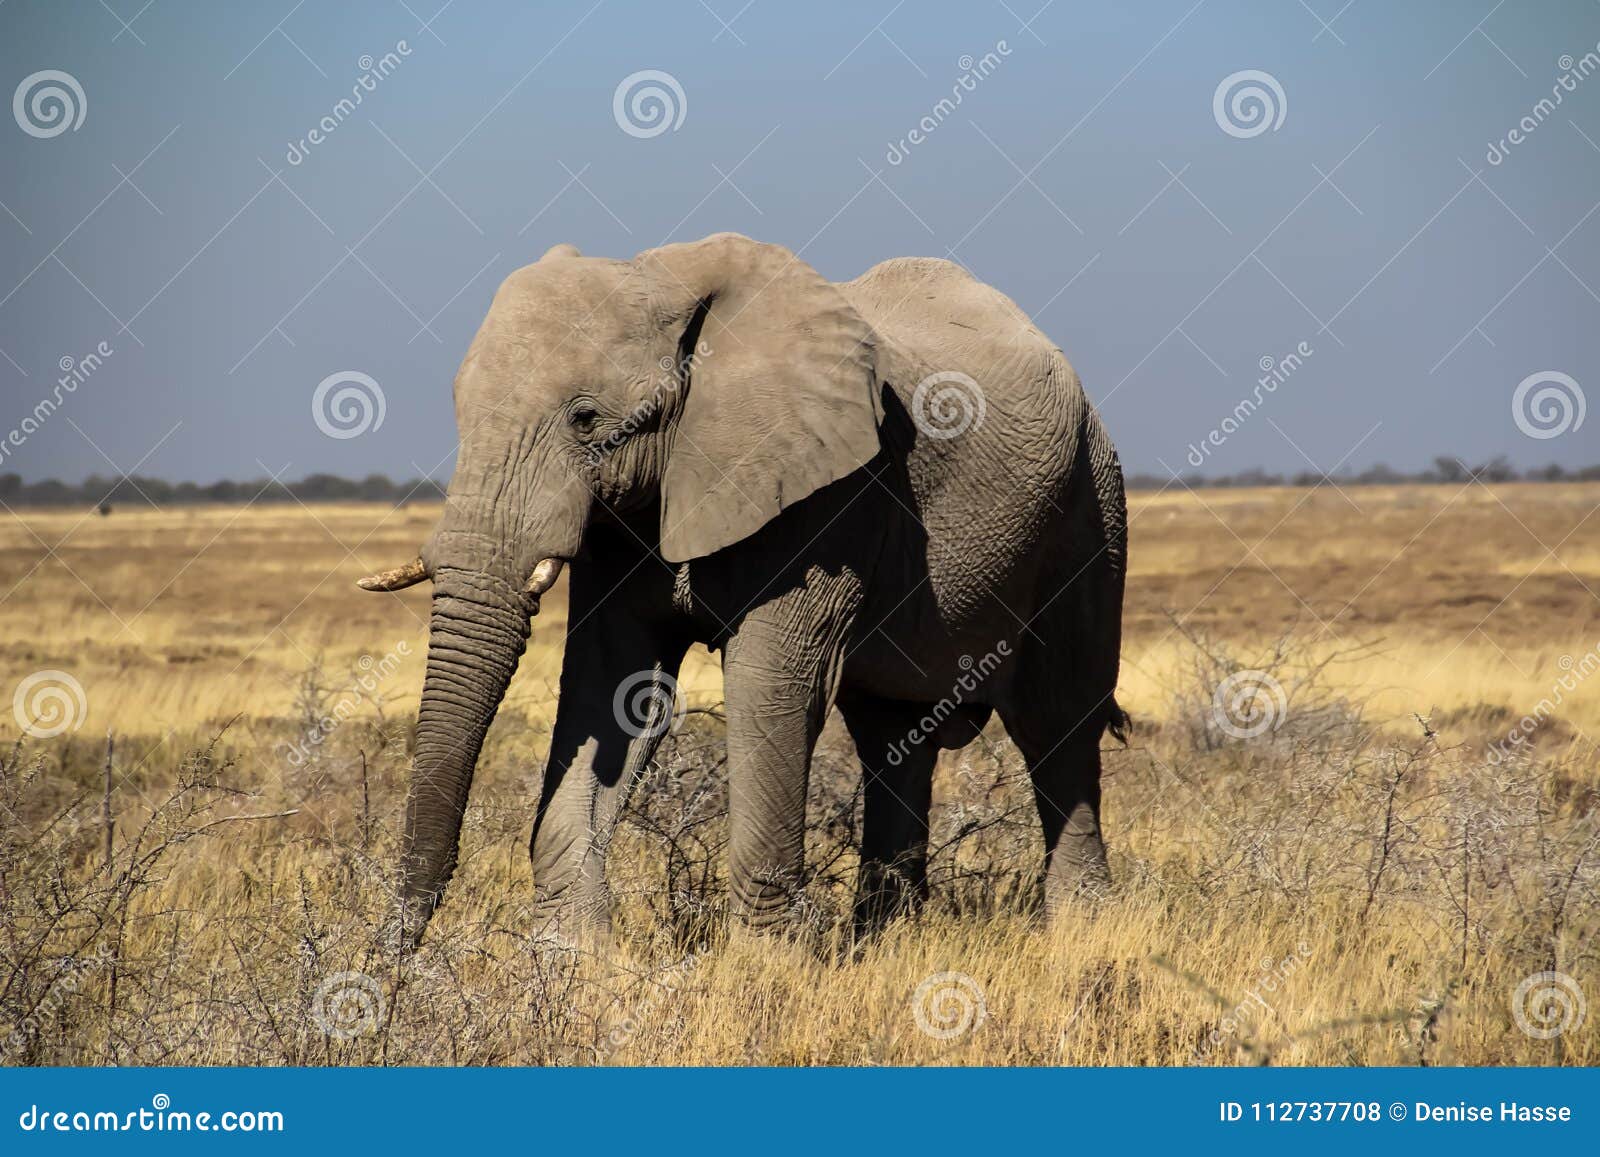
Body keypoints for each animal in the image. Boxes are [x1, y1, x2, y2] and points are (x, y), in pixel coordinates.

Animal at [360, 232, 1128, 944]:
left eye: (585, 418)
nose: (390, 959)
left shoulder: (826, 494)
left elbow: (772, 683)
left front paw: (766, 962)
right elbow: (610, 686)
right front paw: (568, 955)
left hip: (1089, 510)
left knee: (1056, 722)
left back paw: (1083, 935)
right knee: (893, 735)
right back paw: (886, 939)